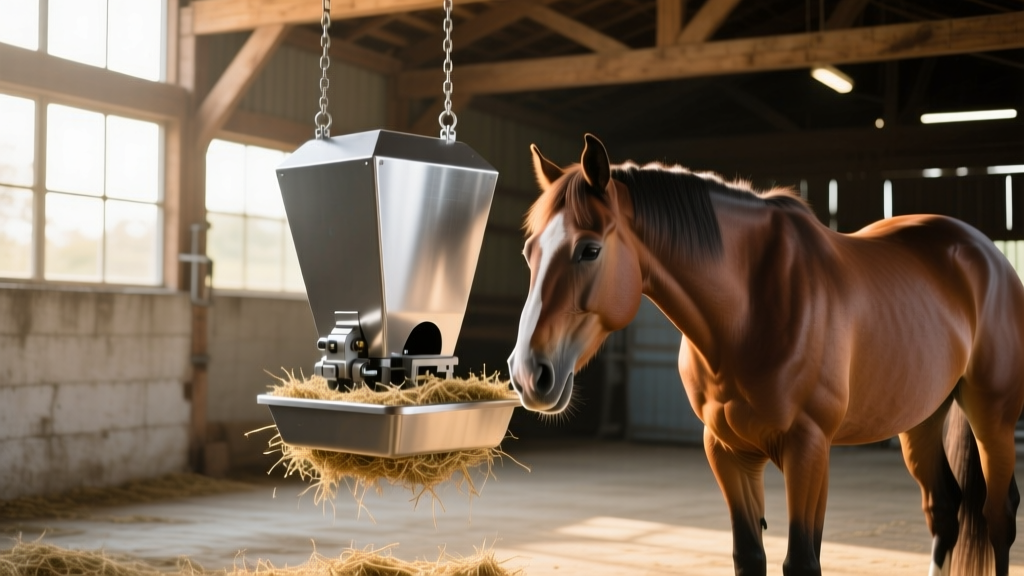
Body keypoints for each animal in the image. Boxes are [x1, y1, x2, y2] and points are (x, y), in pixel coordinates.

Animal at [506, 134, 1024, 576]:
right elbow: (749, 556)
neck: (749, 307)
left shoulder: (808, 449)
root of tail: (987, 254)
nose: (529, 373)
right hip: (921, 419)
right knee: (945, 510)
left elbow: (801, 561)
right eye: (529, 251)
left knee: (997, 515)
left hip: (991, 416)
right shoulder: (727, 451)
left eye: (589, 249)